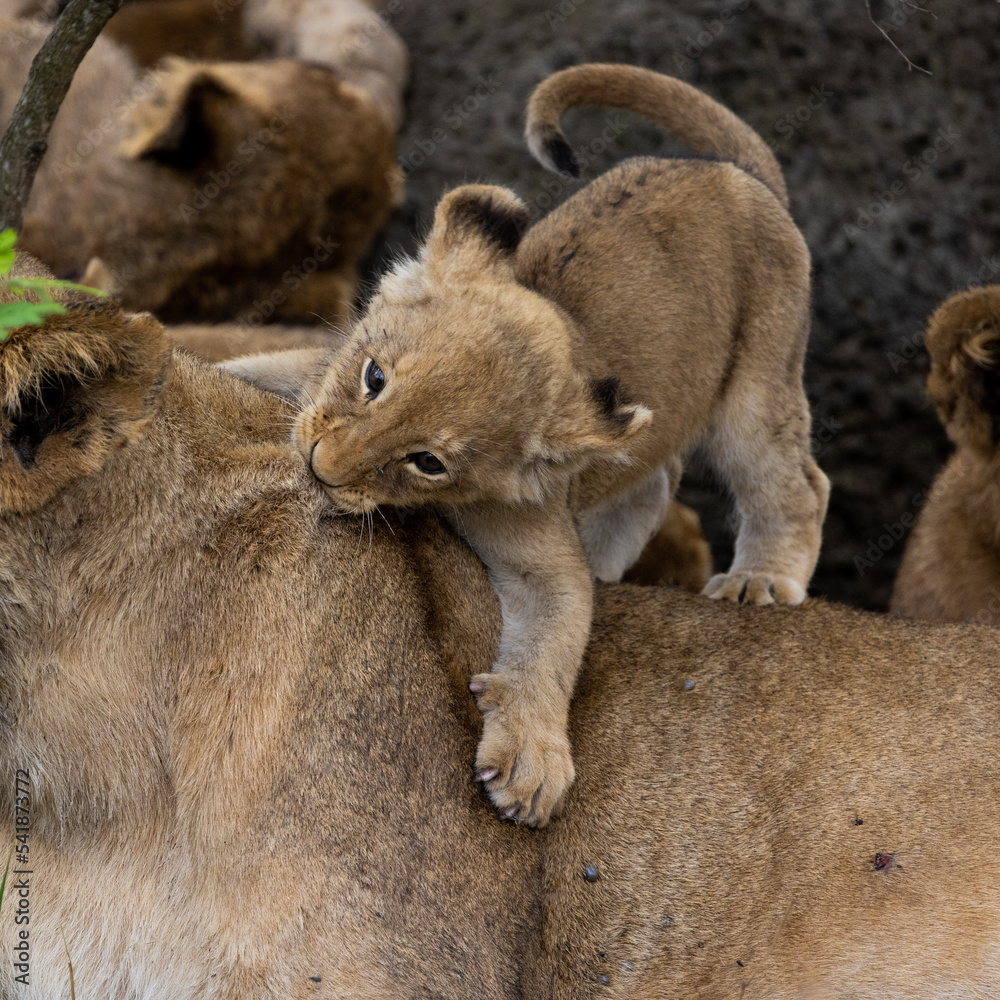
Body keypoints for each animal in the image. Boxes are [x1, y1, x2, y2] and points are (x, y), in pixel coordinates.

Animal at [232, 64, 830, 826]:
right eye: (374, 377)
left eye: (429, 462)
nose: (320, 469)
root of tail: (732, 171)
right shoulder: (306, 377)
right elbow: (245, 371)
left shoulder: (532, 537)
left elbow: (554, 633)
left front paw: (531, 763)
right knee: (653, 482)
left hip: (756, 386)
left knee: (794, 480)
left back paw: (760, 580)